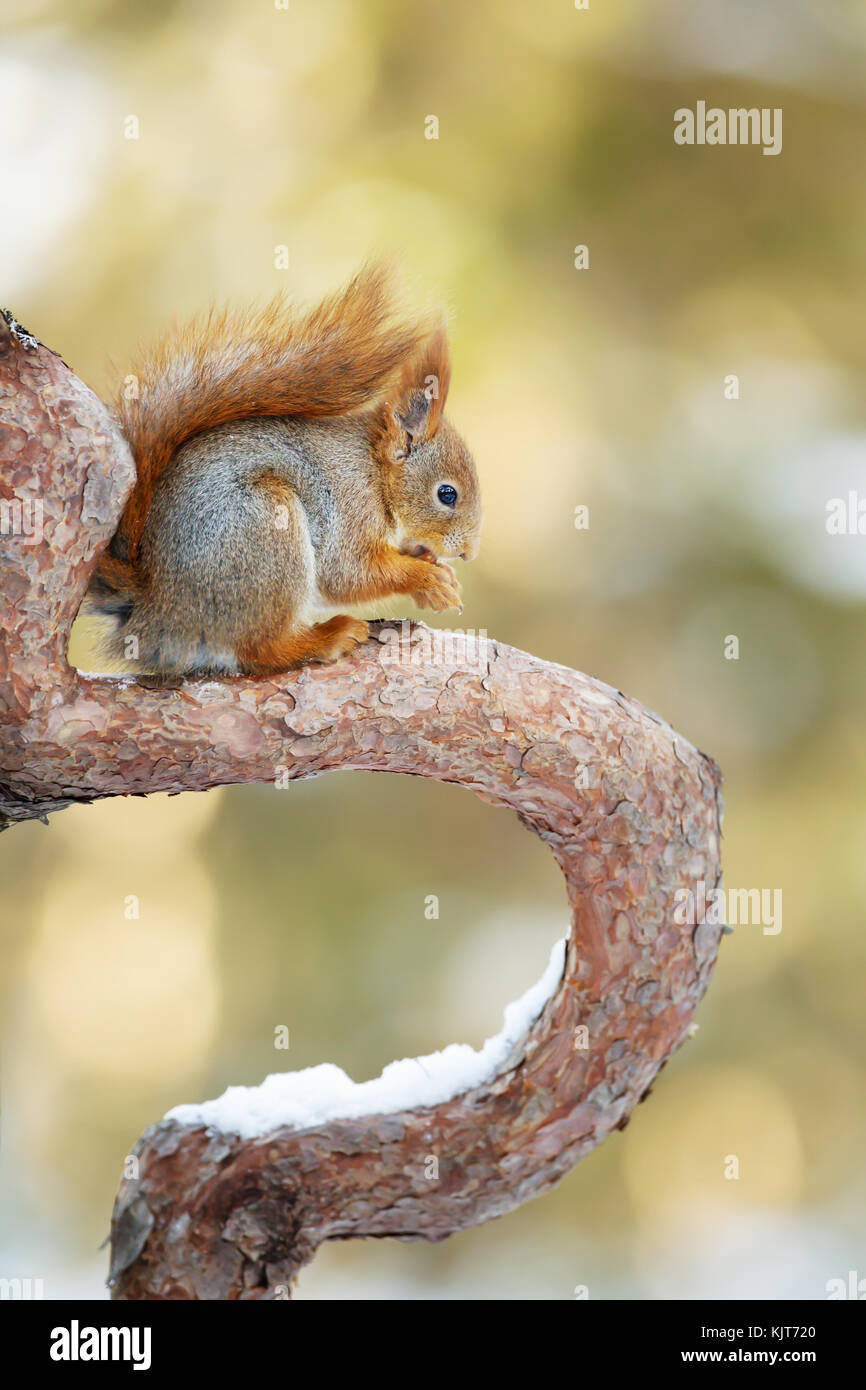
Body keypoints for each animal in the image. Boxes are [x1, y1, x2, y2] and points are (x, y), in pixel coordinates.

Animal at [85, 262, 482, 677]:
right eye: (447, 494)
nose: (469, 553)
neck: (374, 471)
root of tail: (155, 610)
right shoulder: (350, 505)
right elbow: (349, 573)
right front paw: (427, 576)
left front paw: (435, 576)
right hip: (263, 534)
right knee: (258, 649)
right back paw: (325, 638)